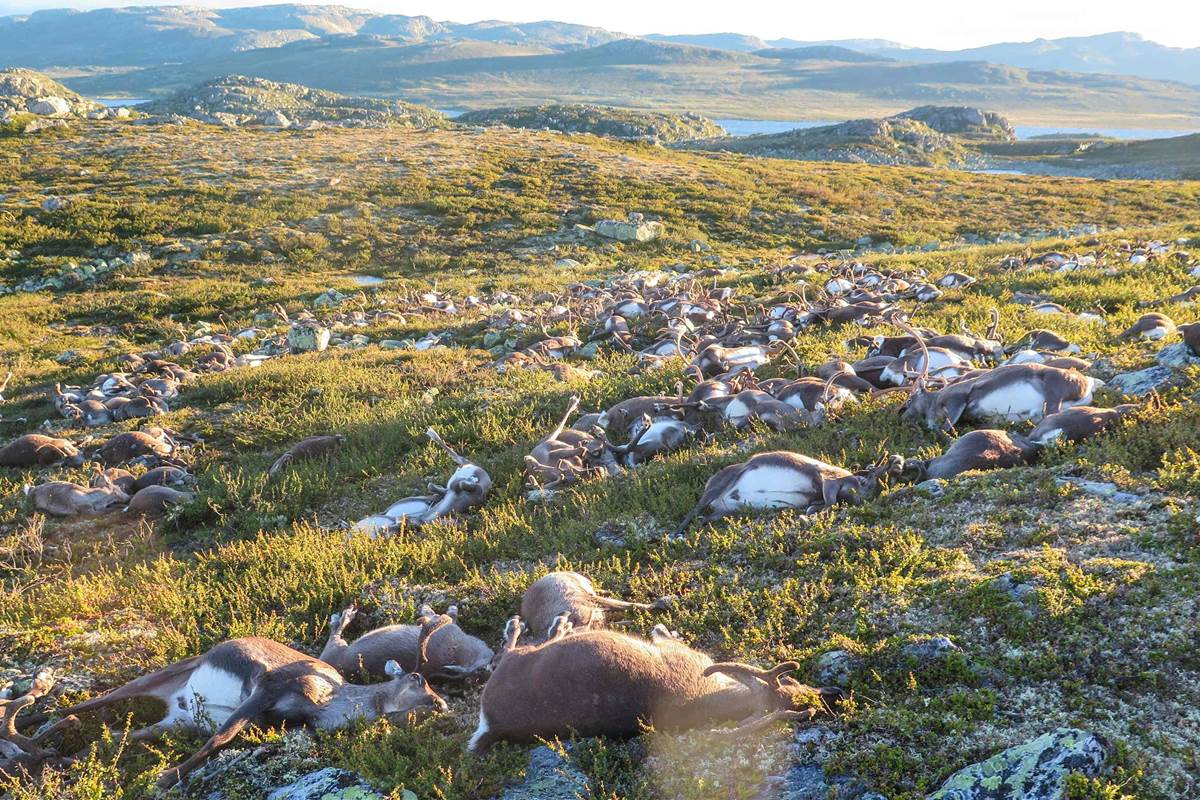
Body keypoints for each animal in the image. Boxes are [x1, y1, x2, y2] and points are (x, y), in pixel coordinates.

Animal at [62, 636, 447, 791]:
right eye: (419, 680)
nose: (442, 706)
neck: (329, 701)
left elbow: (225, 737)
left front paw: (166, 774)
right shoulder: (266, 687)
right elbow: (221, 738)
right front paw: (166, 776)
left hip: (176, 722)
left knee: (115, 735)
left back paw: (70, 757)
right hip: (162, 676)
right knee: (78, 708)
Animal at [468, 619, 841, 753]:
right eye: (791, 678)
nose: (833, 696)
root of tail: (492, 724)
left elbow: (662, 634)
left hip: (517, 663)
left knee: (508, 651)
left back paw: (546, 626)